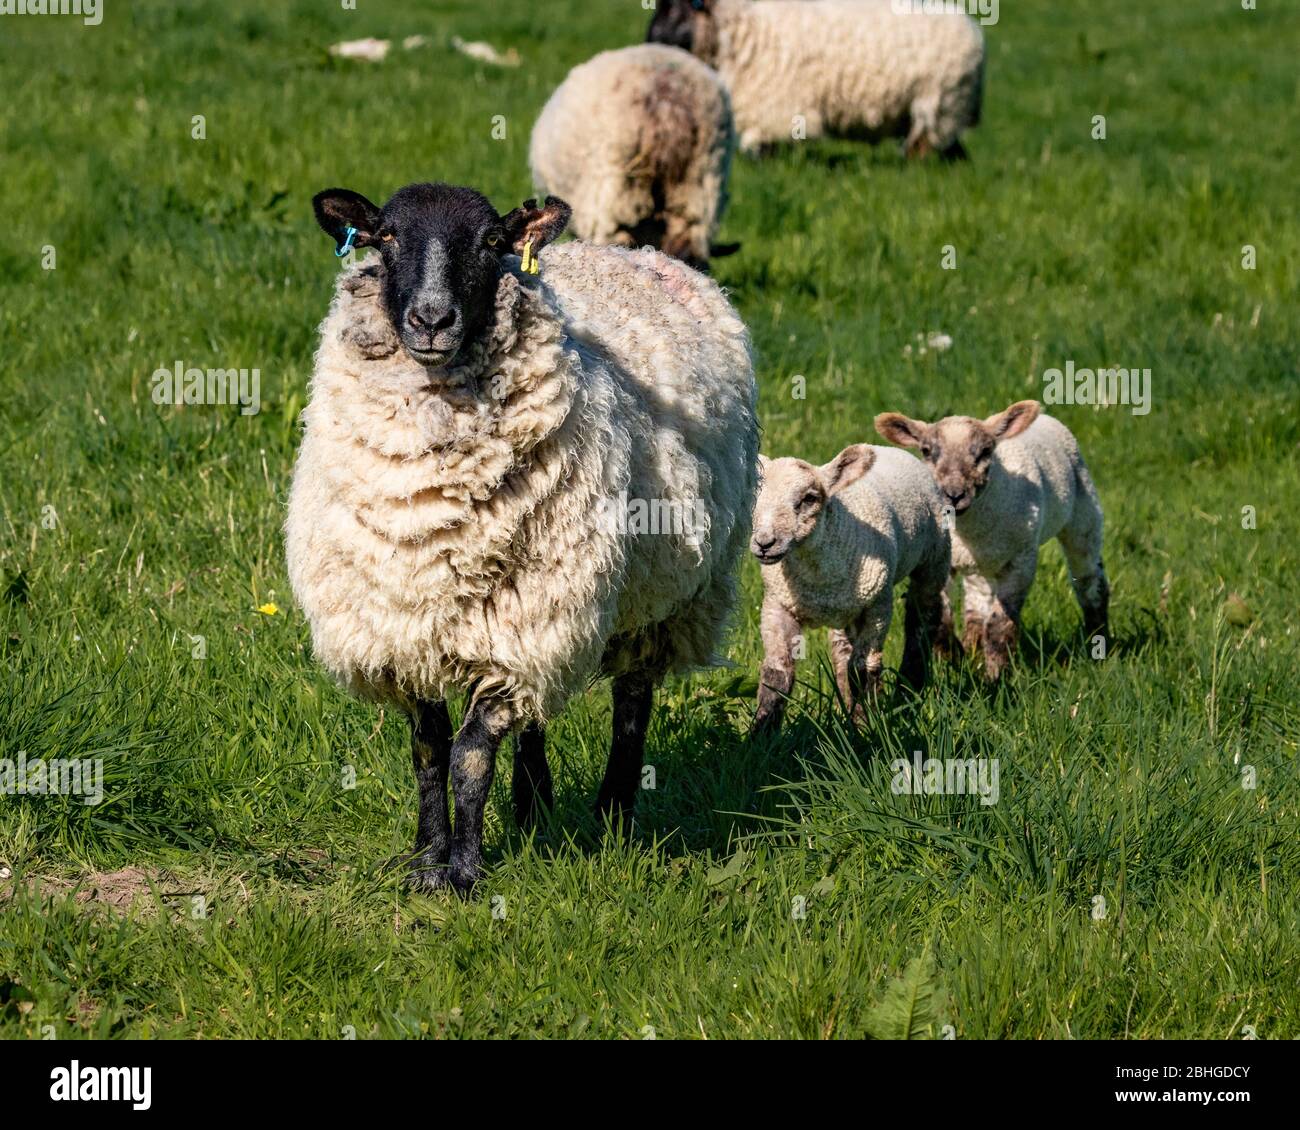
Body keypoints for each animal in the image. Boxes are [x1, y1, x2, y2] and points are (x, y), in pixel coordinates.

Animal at [287, 182, 759, 894]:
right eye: (387, 235)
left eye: (489, 242)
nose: (431, 320)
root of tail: (635, 252)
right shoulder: (405, 625)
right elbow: (429, 752)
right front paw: (426, 861)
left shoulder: (521, 622)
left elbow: (469, 757)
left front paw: (464, 872)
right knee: (534, 716)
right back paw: (533, 805)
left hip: (665, 598)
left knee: (633, 701)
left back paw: (613, 814)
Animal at [647, 0, 985, 158]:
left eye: (678, 7)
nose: (650, 40)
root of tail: (976, 34)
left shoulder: (773, 108)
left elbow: (765, 149)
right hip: (945, 110)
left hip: (939, 103)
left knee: (925, 149)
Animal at [750, 443, 951, 733]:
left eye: (809, 498)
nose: (765, 543)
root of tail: (887, 448)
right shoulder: (779, 604)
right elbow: (776, 673)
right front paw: (761, 734)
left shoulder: (877, 606)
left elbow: (864, 669)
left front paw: (868, 729)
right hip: (845, 609)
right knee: (842, 653)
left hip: (935, 555)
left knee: (922, 618)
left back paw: (908, 691)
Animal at [874, 400, 1109, 680]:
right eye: (926, 450)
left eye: (985, 451)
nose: (954, 495)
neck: (967, 528)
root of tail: (1045, 417)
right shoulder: (943, 559)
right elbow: (942, 617)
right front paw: (954, 656)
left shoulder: (1021, 561)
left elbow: (999, 625)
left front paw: (997, 674)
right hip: (985, 562)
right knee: (978, 601)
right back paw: (972, 648)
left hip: (1083, 510)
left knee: (1089, 579)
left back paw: (1099, 639)